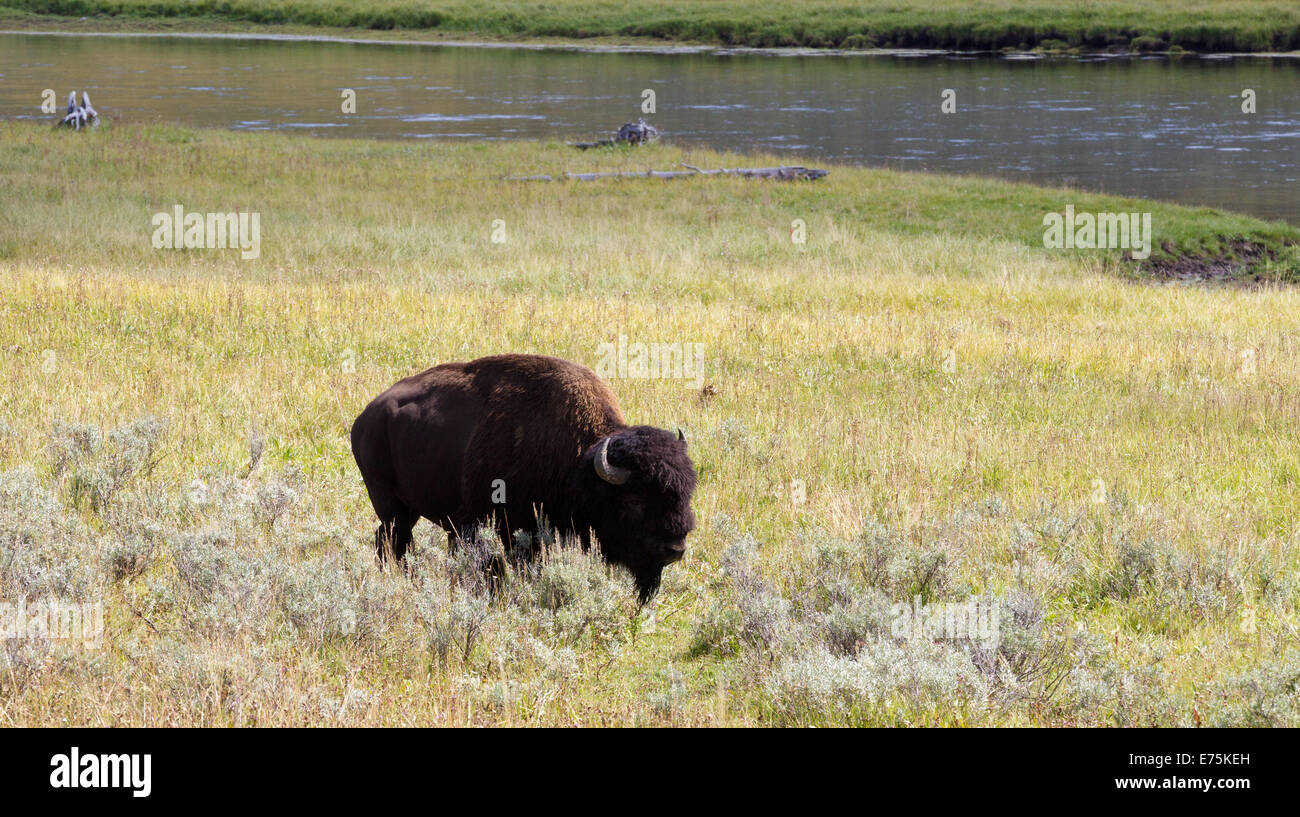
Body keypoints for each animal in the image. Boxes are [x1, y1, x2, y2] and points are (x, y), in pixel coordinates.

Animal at [350, 354, 697, 598]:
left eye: (686, 494)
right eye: (635, 499)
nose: (675, 549)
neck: (580, 464)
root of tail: (366, 417)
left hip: (406, 509)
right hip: (389, 503)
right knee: (395, 541)